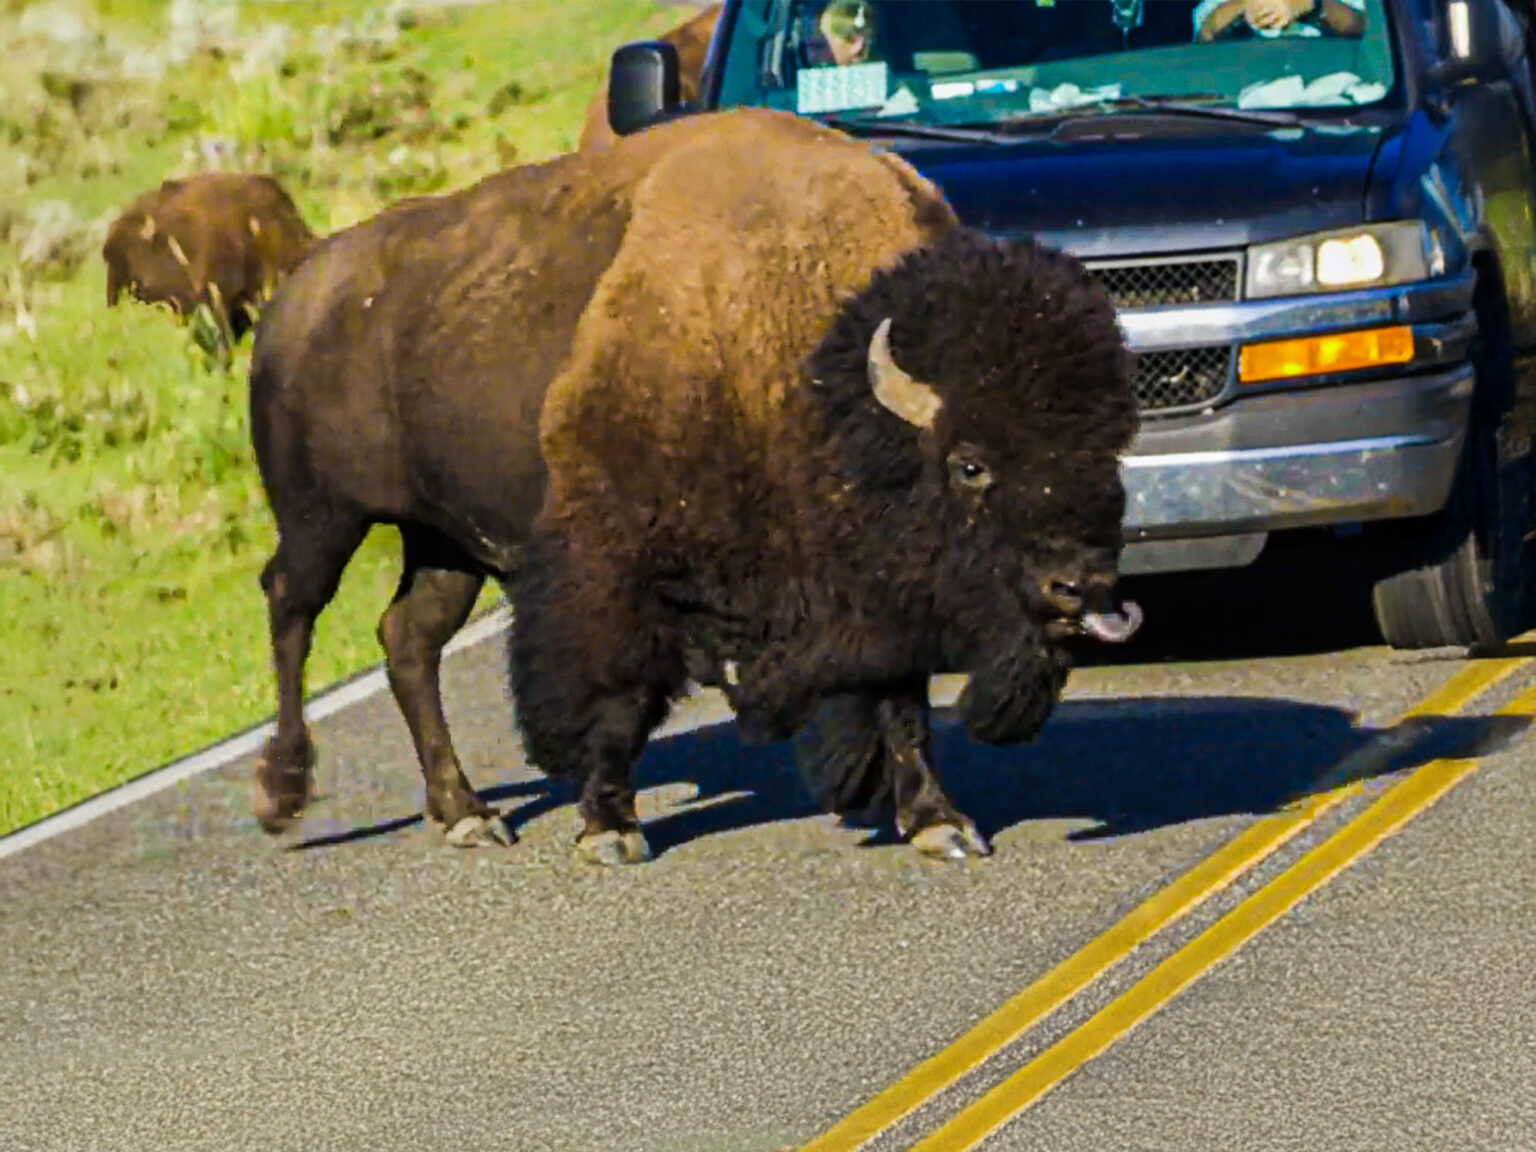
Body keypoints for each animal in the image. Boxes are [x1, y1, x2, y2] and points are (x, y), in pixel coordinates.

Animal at [248, 106, 1140, 864]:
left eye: (1110, 447)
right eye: (971, 462)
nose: (1080, 585)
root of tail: (294, 294)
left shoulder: (878, 593)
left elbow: (903, 704)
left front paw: (939, 824)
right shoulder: (616, 564)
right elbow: (619, 697)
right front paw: (609, 831)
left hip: (445, 543)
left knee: (407, 640)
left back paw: (466, 813)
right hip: (323, 517)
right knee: (291, 605)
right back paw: (283, 793)